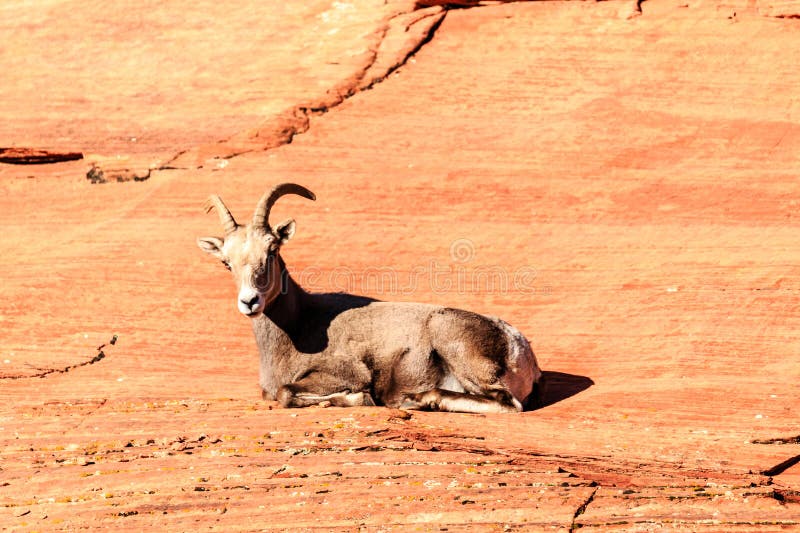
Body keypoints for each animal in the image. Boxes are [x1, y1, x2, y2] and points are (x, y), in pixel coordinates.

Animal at [197, 183, 542, 413]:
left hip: (450, 337)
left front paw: (358, 398)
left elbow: (286, 394)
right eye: (226, 262)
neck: (298, 328)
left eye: (271, 251)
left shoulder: (346, 373)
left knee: (508, 403)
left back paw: (419, 400)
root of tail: (521, 350)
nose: (250, 302)